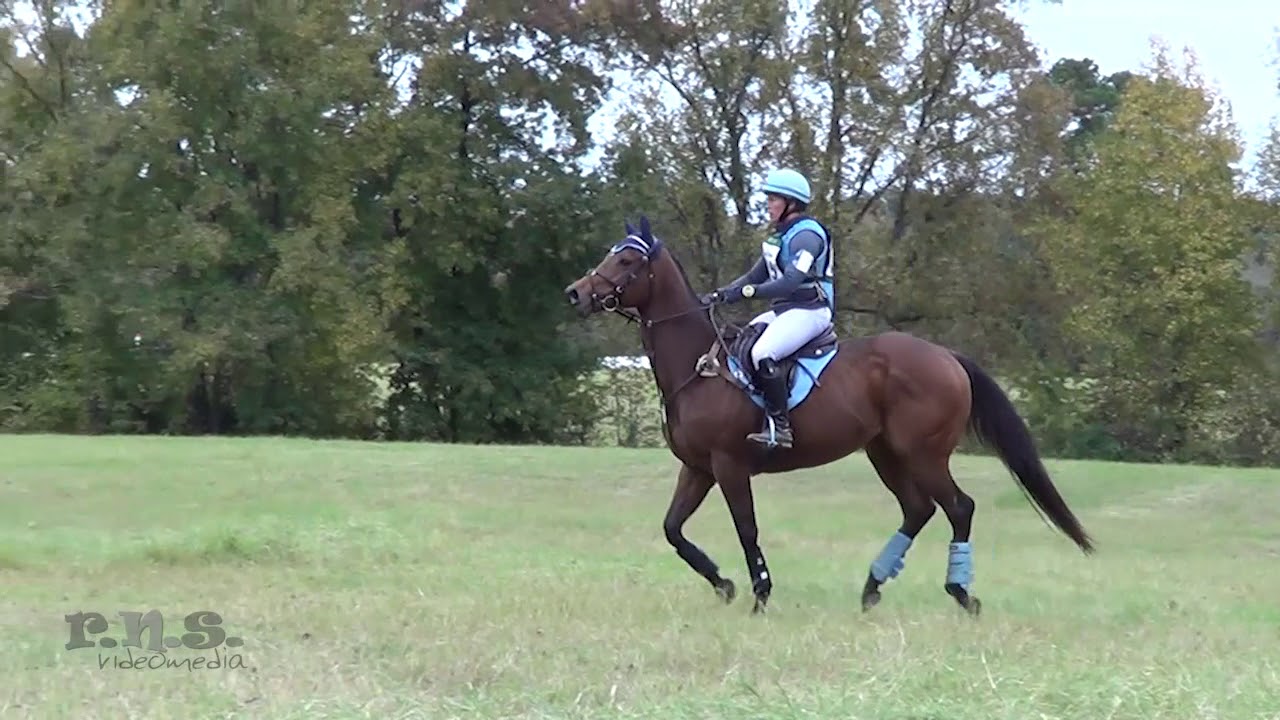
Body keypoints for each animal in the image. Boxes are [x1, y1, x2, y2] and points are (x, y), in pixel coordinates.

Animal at [563, 215, 1095, 616]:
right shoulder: (697, 468)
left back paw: (960, 591)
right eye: (612, 253)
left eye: (627, 260)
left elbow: (746, 528)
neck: (700, 367)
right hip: (885, 453)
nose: (575, 294)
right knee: (918, 509)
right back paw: (873, 587)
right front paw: (724, 584)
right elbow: (673, 530)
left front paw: (760, 595)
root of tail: (946, 356)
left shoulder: (729, 467)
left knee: (958, 507)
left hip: (923, 454)